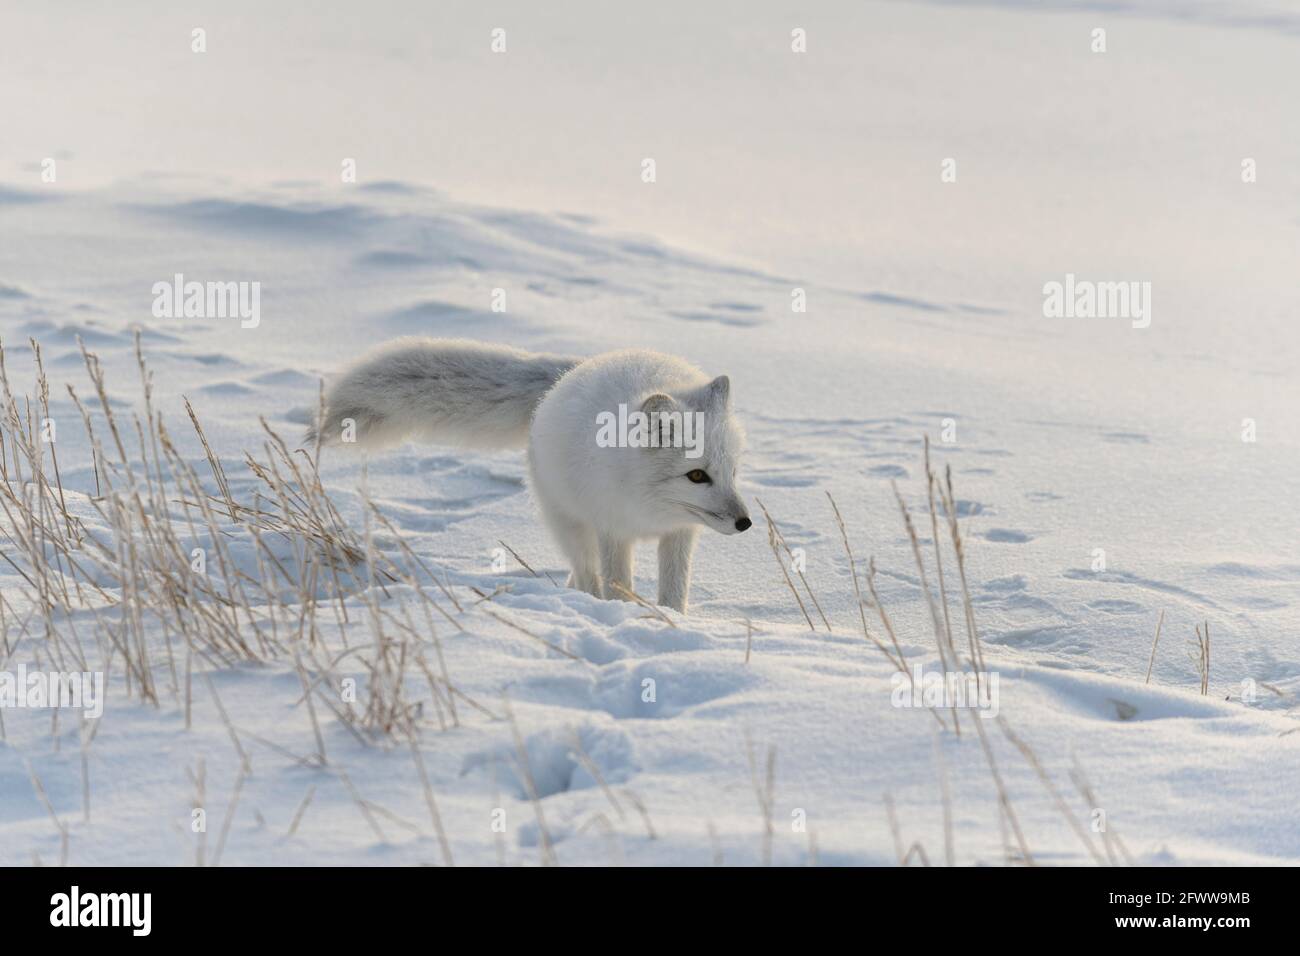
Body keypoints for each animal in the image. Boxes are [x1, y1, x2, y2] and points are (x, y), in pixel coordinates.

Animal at [306, 338, 751, 612]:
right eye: (697, 476)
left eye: (732, 471)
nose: (745, 523)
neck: (649, 509)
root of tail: (577, 369)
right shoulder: (611, 528)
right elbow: (616, 583)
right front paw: (624, 616)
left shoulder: (679, 533)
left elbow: (675, 590)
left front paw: (673, 621)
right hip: (567, 523)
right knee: (586, 574)